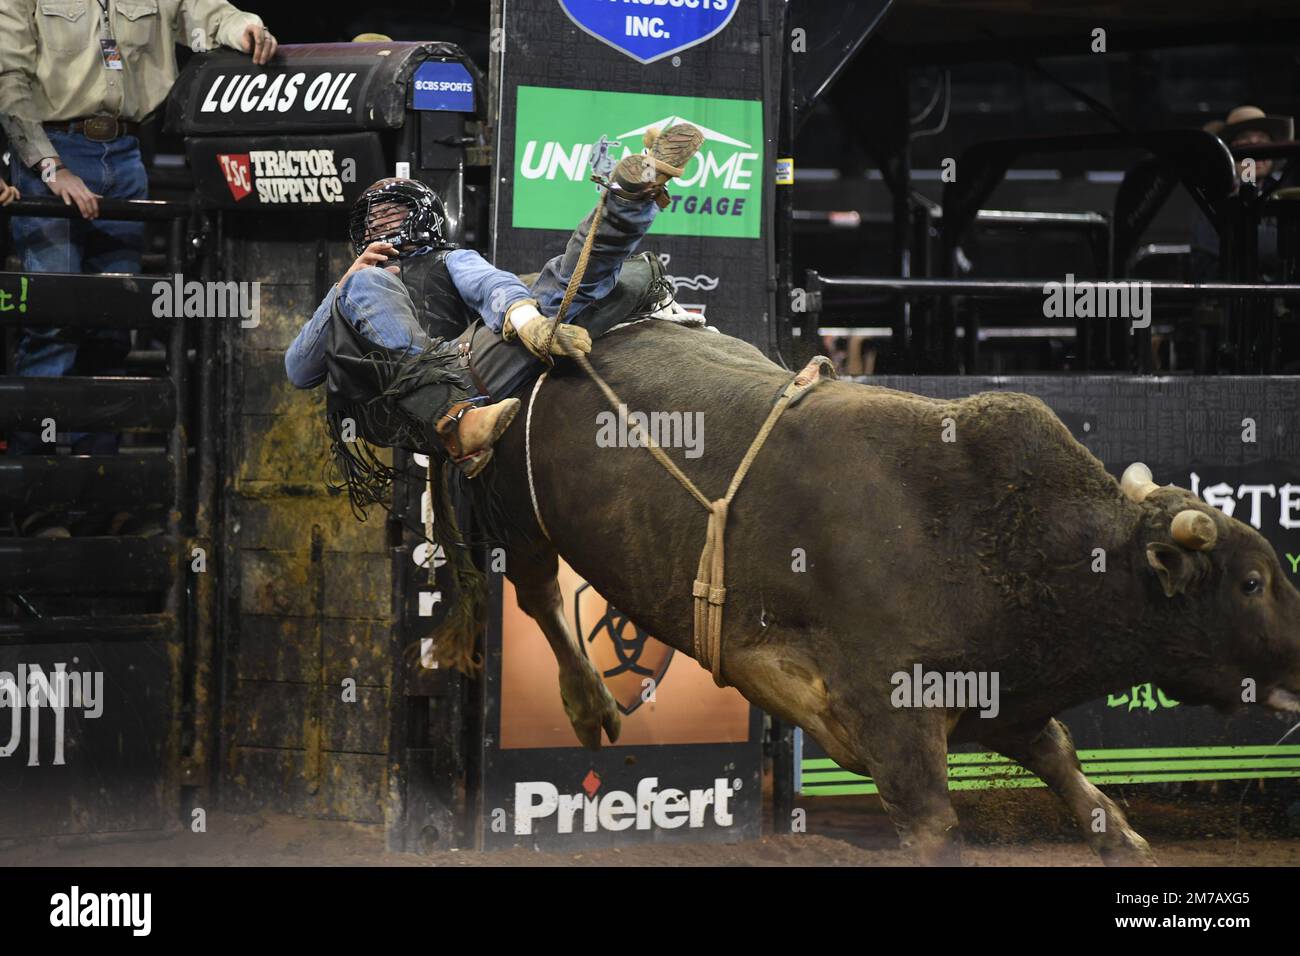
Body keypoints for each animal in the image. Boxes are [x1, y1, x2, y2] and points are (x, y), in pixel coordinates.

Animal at [425, 319, 1300, 865]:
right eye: (1253, 581)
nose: (1299, 662)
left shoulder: (1008, 695)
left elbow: (1060, 759)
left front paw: (1121, 837)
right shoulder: (888, 710)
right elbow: (934, 824)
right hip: (519, 516)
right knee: (540, 594)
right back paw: (588, 703)